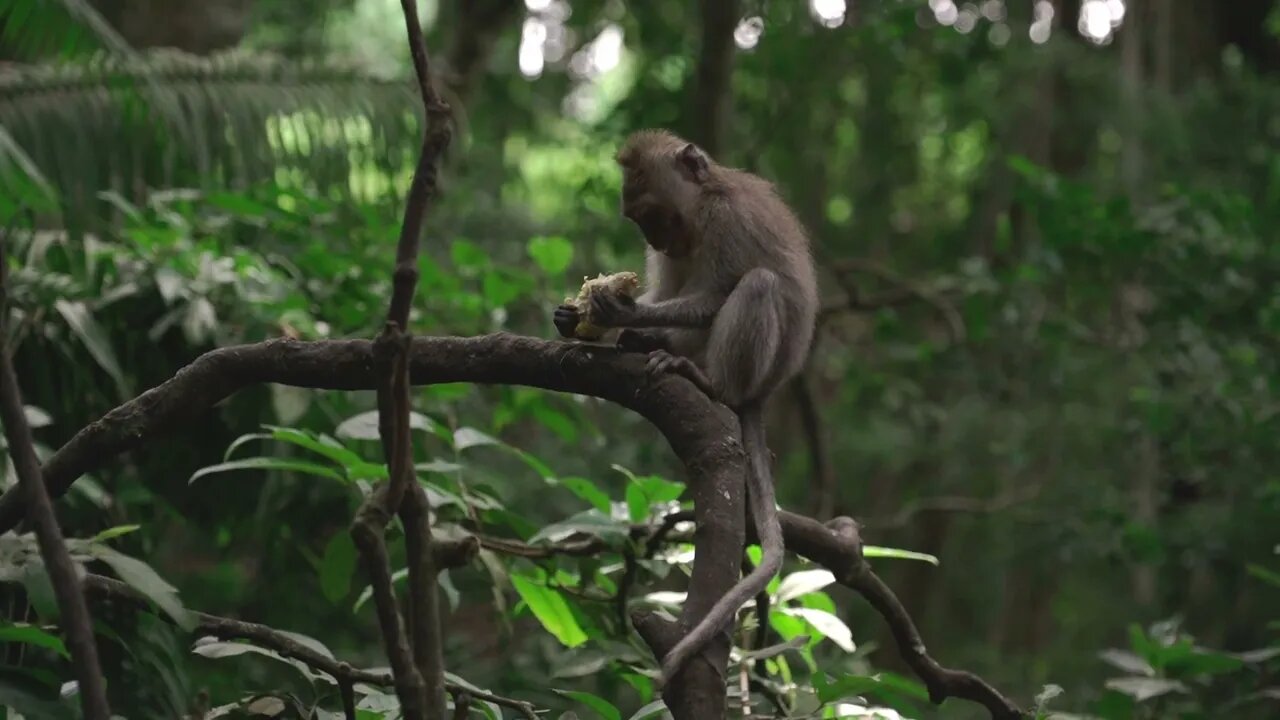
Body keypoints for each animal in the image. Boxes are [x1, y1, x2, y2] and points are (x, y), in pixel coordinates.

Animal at [553, 129, 818, 688]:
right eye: (639, 221)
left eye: (654, 214)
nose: (656, 242)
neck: (700, 207)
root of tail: (764, 392)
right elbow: (667, 288)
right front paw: (577, 318)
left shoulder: (724, 219)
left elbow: (716, 293)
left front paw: (621, 309)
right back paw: (643, 344)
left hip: (751, 369)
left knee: (757, 285)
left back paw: (709, 383)